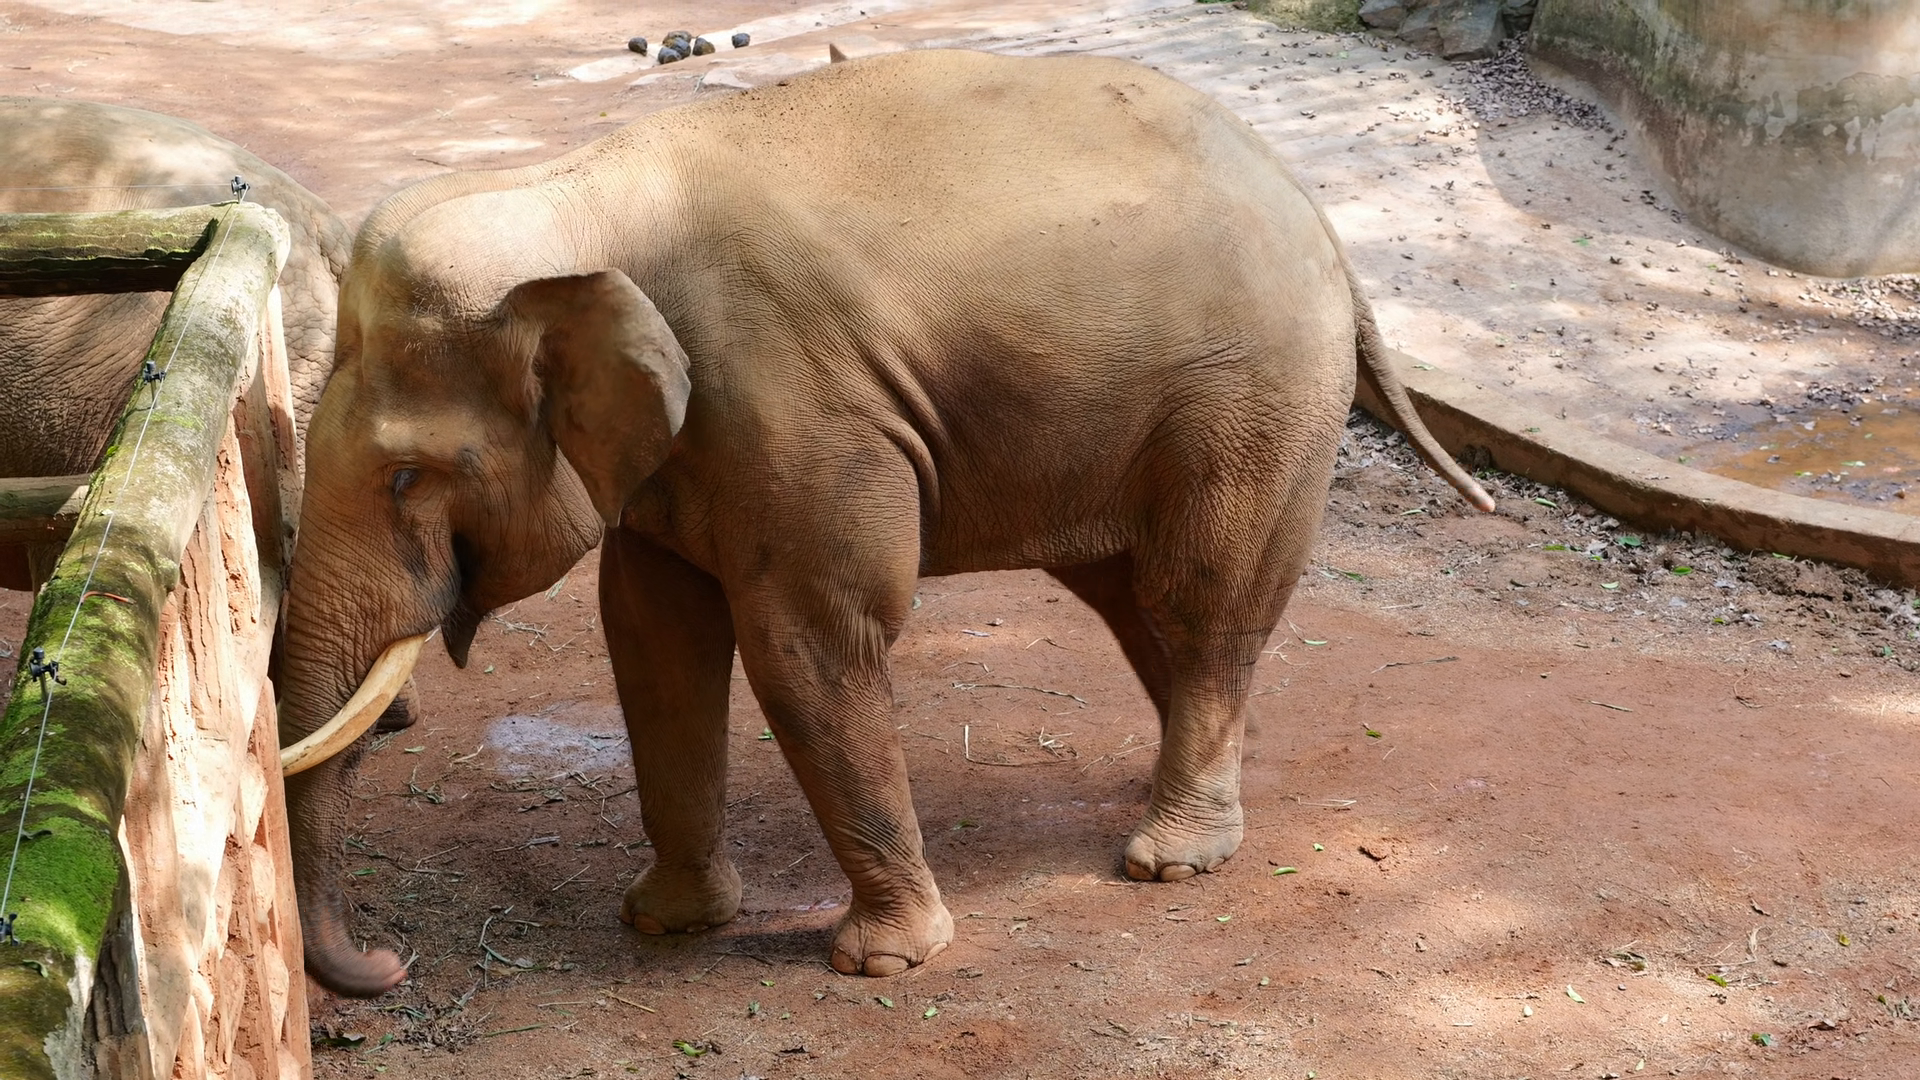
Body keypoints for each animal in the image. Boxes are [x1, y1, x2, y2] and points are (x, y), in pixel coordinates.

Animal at [278, 48, 1494, 997]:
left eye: (404, 475)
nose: (389, 966)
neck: (574, 190)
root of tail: (1313, 207)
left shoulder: (795, 405)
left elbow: (809, 640)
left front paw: (885, 962)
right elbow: (653, 636)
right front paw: (664, 921)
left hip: (1253, 399)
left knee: (1200, 599)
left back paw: (1171, 856)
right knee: (1134, 598)